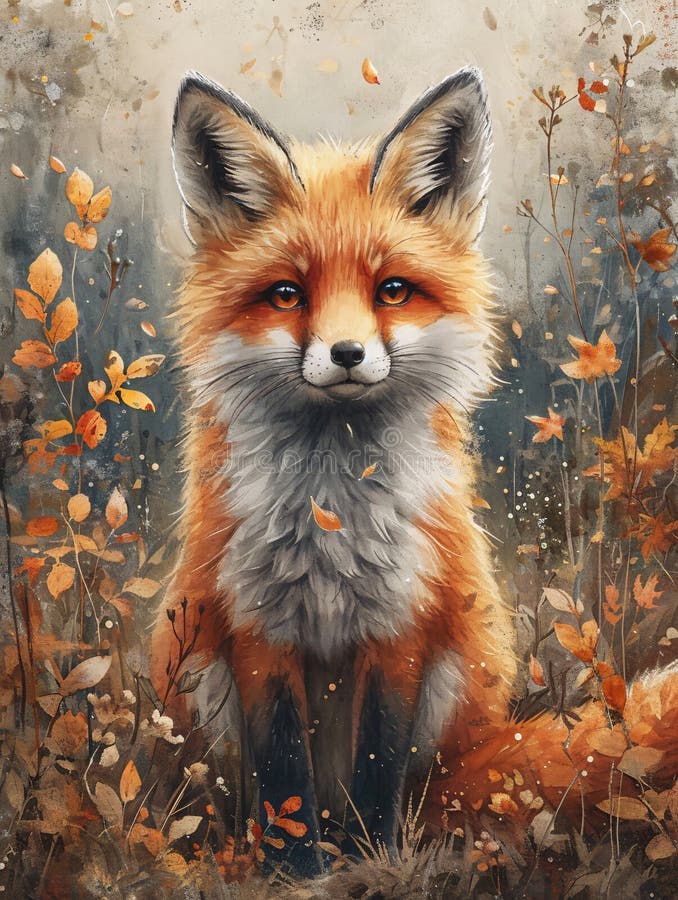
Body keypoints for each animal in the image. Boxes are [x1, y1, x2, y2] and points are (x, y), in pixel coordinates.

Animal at [152, 68, 678, 852]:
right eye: (287, 294)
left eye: (391, 290)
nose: (346, 353)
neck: (331, 514)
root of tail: (485, 752)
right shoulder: (256, 628)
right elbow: (283, 778)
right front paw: (295, 867)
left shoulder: (402, 622)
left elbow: (377, 765)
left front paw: (371, 858)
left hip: (453, 693)